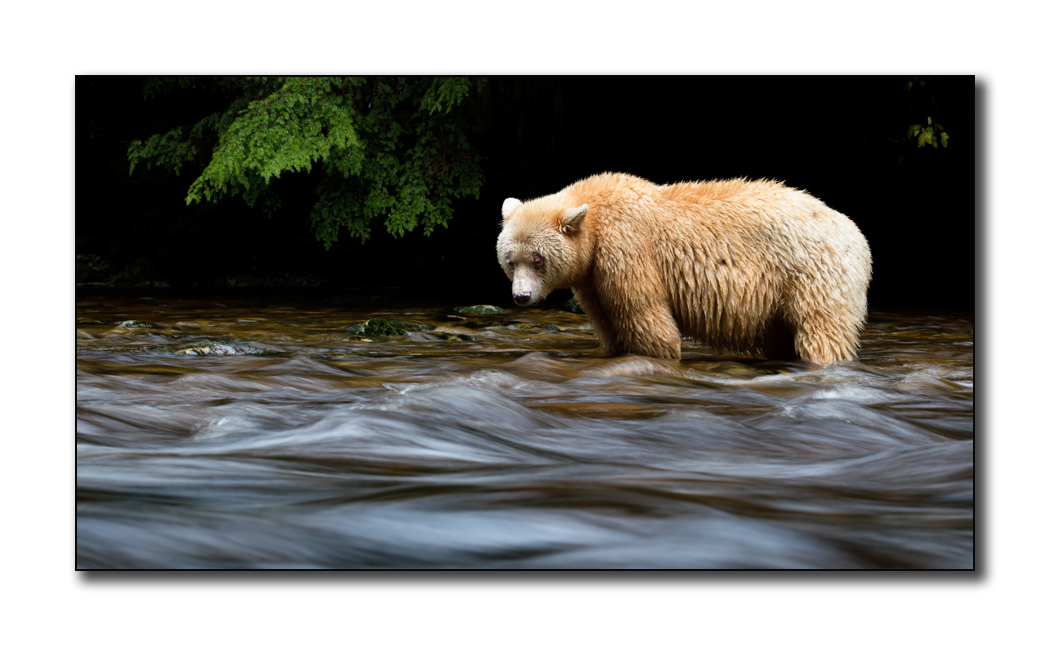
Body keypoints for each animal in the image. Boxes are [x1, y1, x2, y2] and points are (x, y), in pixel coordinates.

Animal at [496, 172, 872, 365]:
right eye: (510, 260)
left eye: (538, 259)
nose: (521, 297)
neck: (596, 218)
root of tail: (857, 235)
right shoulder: (592, 278)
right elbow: (609, 324)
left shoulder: (626, 249)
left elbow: (646, 318)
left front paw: (658, 354)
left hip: (812, 274)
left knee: (821, 332)